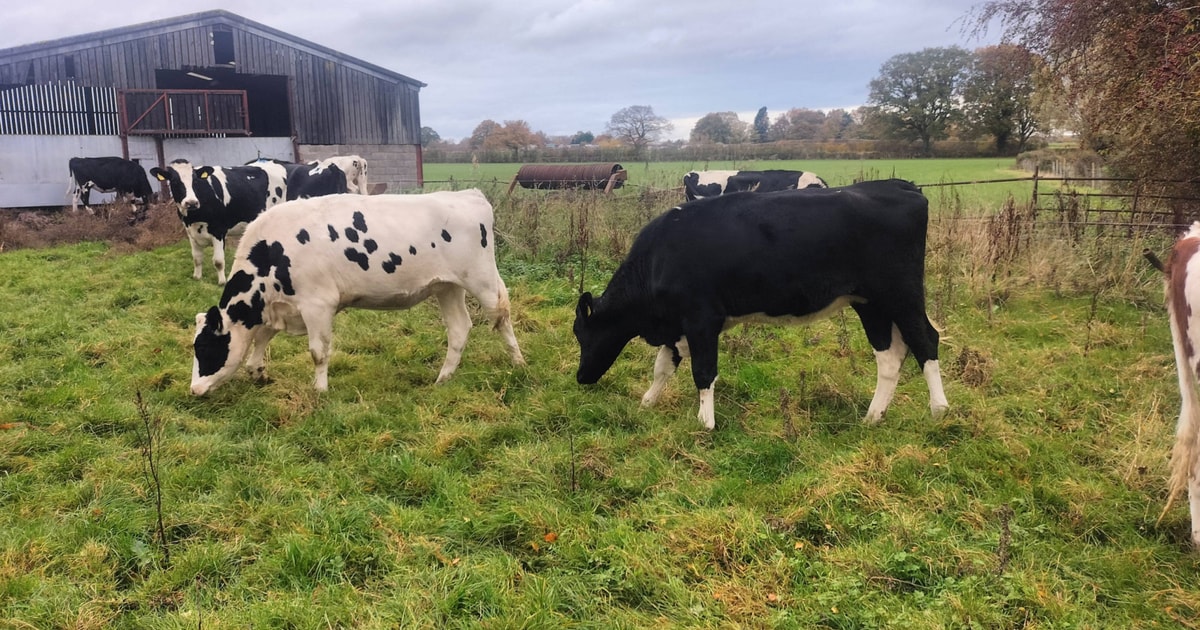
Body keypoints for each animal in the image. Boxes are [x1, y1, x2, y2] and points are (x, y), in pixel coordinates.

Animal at [150, 159, 293, 285]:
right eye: (174, 181)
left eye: (195, 181)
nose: (191, 202)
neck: (194, 217)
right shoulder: (190, 232)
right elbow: (197, 258)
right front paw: (197, 277)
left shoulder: (218, 231)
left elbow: (218, 261)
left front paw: (222, 282)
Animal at [189, 189, 525, 395]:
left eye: (203, 347)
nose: (194, 390)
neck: (273, 252)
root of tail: (469, 194)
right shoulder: (279, 307)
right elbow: (260, 338)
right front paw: (257, 371)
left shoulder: (317, 305)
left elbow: (318, 352)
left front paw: (320, 391)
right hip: (446, 286)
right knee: (459, 328)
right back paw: (443, 378)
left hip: (481, 280)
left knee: (502, 317)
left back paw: (519, 364)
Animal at [573, 179, 948, 430]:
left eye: (582, 334)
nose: (580, 377)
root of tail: (901, 187)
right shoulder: (675, 324)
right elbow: (662, 368)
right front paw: (648, 402)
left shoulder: (701, 319)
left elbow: (703, 372)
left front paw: (704, 423)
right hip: (870, 303)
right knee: (890, 356)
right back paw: (872, 417)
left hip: (901, 294)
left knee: (926, 340)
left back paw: (939, 411)